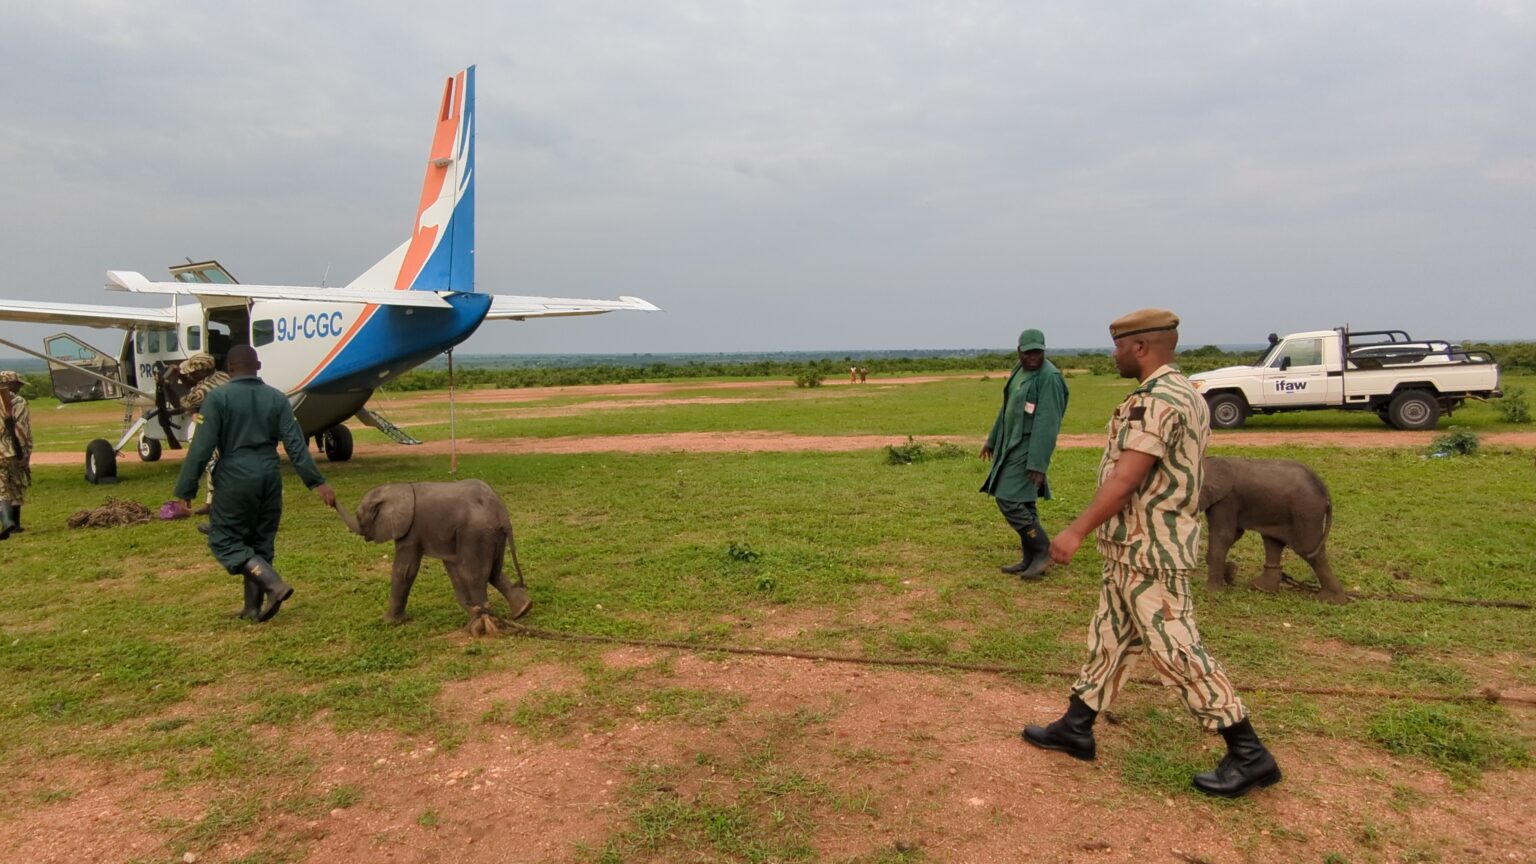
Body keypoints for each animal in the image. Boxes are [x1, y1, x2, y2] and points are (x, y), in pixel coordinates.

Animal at [337, 479, 533, 634]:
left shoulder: (411, 531)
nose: (331, 498)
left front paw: (390, 622)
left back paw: (482, 625)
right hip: (491, 535)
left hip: (475, 533)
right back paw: (522, 610)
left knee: (475, 574)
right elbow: (453, 569)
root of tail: (502, 514)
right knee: (493, 571)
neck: (396, 488)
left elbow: (405, 570)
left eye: (359, 517)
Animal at [1199, 456, 1348, 605]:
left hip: (1306, 511)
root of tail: (1325, 491)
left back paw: (1330, 600)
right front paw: (1231, 573)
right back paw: (1262, 588)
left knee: (1309, 551)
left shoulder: (1226, 501)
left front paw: (1213, 592)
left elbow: (1224, 536)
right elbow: (1235, 534)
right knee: (1274, 542)